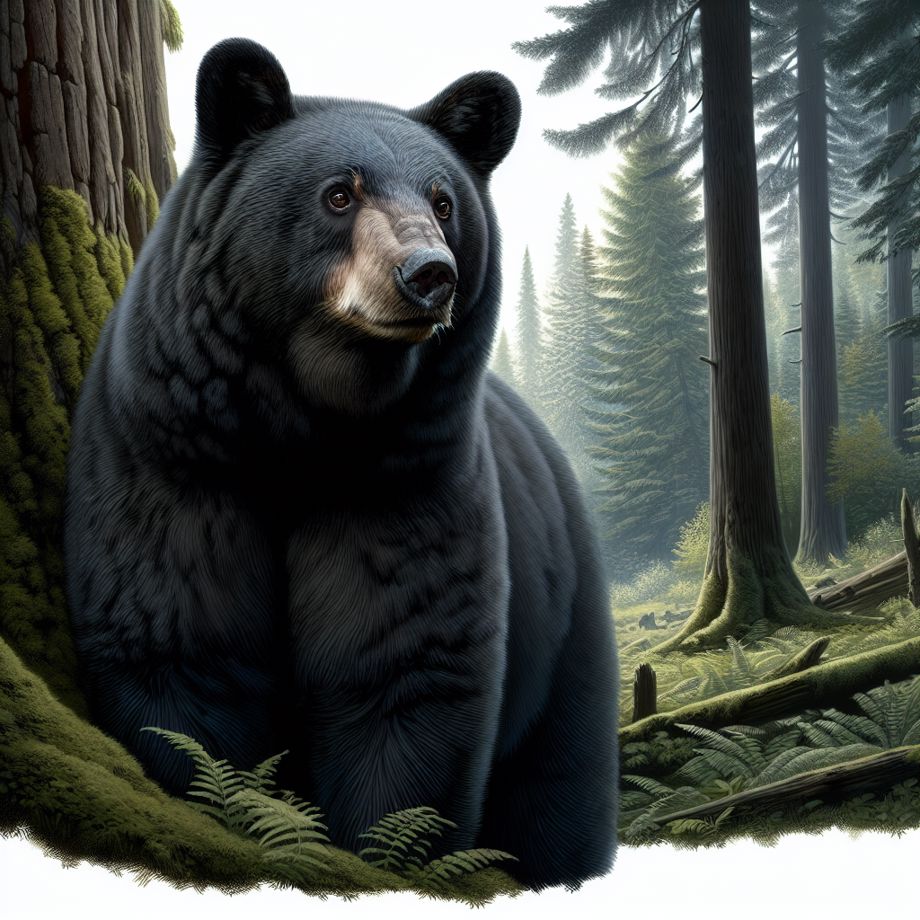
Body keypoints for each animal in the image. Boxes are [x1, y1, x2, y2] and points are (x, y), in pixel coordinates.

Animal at [64, 38, 618, 890]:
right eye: (337, 194)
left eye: (443, 201)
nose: (428, 273)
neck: (309, 431)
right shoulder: (176, 464)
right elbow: (179, 652)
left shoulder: (406, 484)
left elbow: (400, 668)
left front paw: (386, 858)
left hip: (566, 628)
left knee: (561, 782)